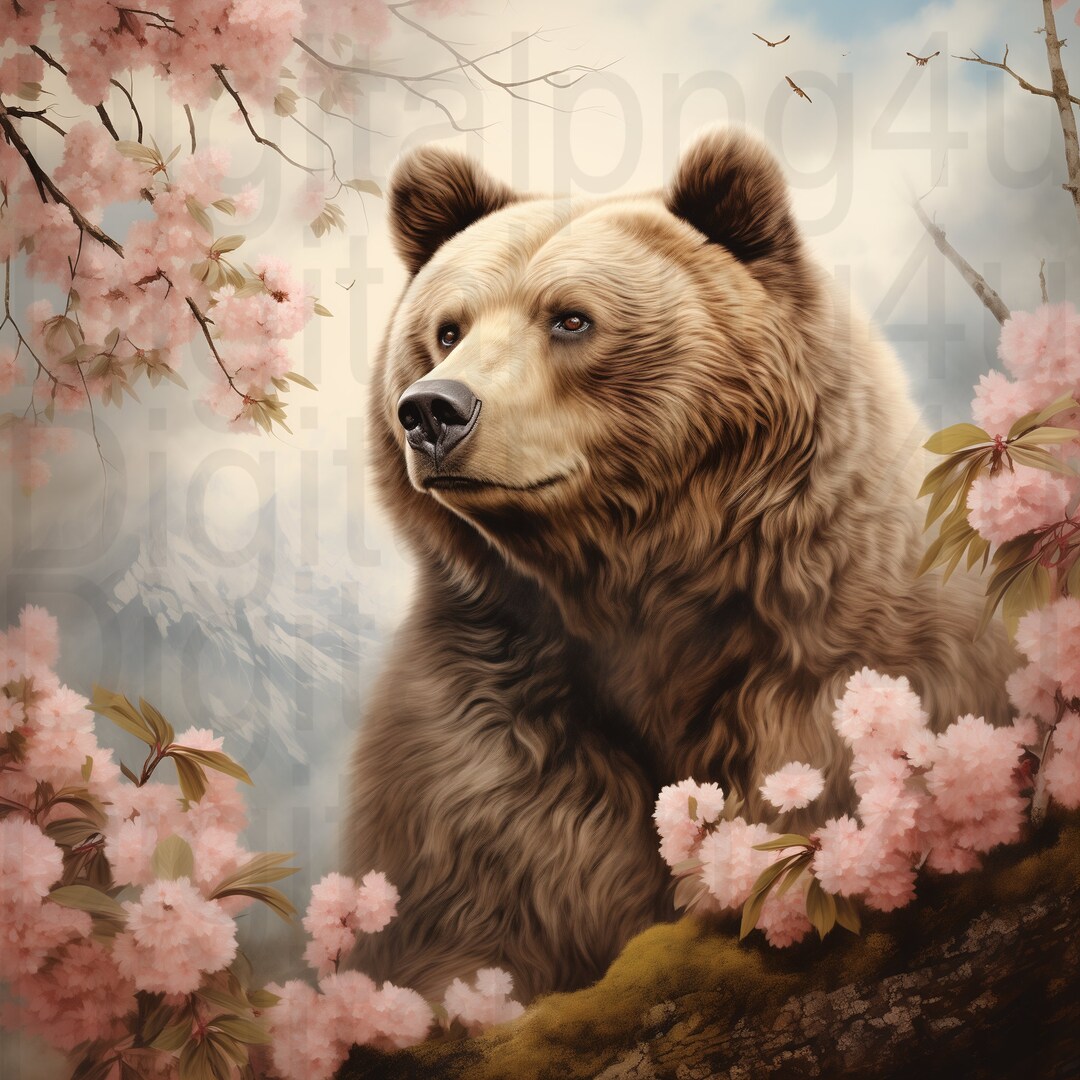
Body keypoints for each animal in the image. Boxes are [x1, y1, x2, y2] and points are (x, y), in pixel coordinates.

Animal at [345, 127, 1015, 1003]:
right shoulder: (491, 727)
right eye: (448, 327)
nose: (432, 410)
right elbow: (478, 899)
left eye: (571, 318)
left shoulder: (847, 665)